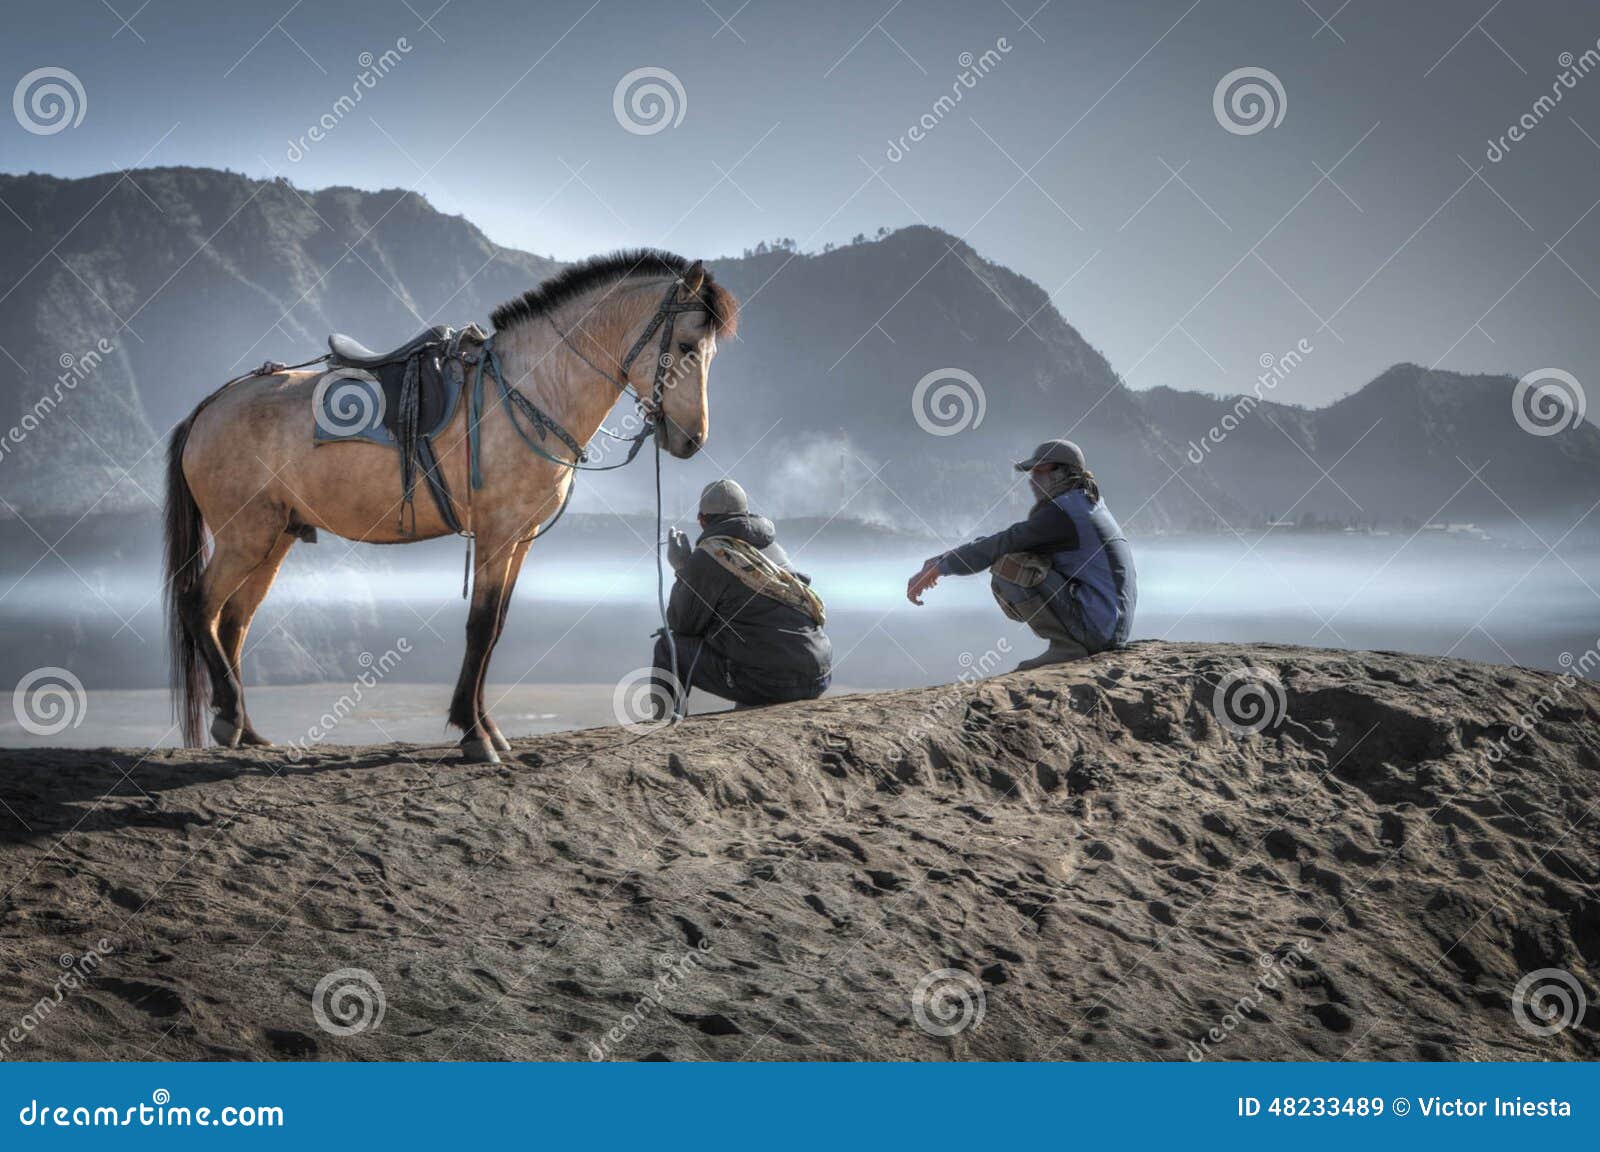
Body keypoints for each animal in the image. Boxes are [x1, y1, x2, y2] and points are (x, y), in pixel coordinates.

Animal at [163, 250, 738, 763]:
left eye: (711, 354)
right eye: (685, 344)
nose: (692, 439)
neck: (529, 387)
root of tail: (209, 407)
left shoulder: (519, 539)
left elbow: (495, 627)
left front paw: (485, 726)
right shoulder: (496, 534)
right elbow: (480, 628)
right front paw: (474, 734)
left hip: (274, 536)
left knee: (233, 621)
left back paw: (246, 729)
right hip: (245, 535)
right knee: (200, 606)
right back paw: (229, 715)